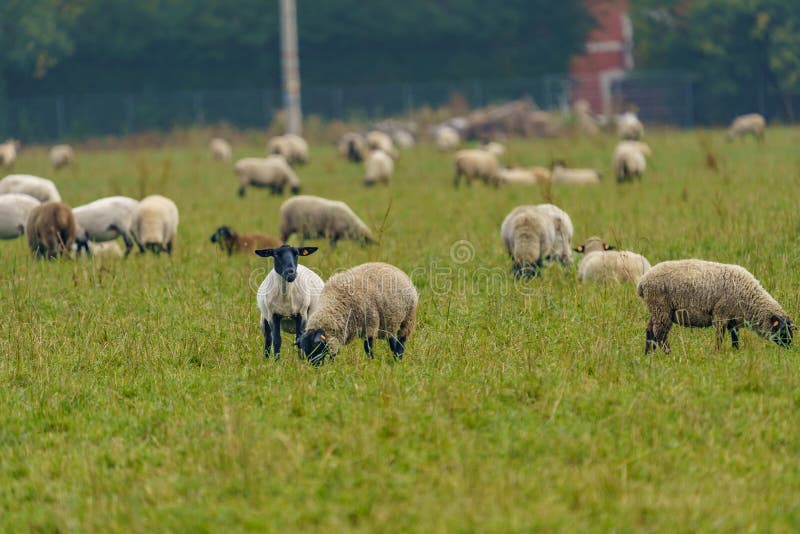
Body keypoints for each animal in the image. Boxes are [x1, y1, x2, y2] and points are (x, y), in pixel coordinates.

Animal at [637, 259, 793, 354]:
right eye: (782, 330)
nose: (791, 348)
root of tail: (643, 282)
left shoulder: (733, 319)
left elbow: (735, 337)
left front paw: (736, 352)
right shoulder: (721, 314)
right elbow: (719, 337)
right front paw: (717, 353)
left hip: (656, 310)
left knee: (649, 330)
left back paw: (648, 355)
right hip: (661, 308)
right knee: (660, 334)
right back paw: (669, 354)